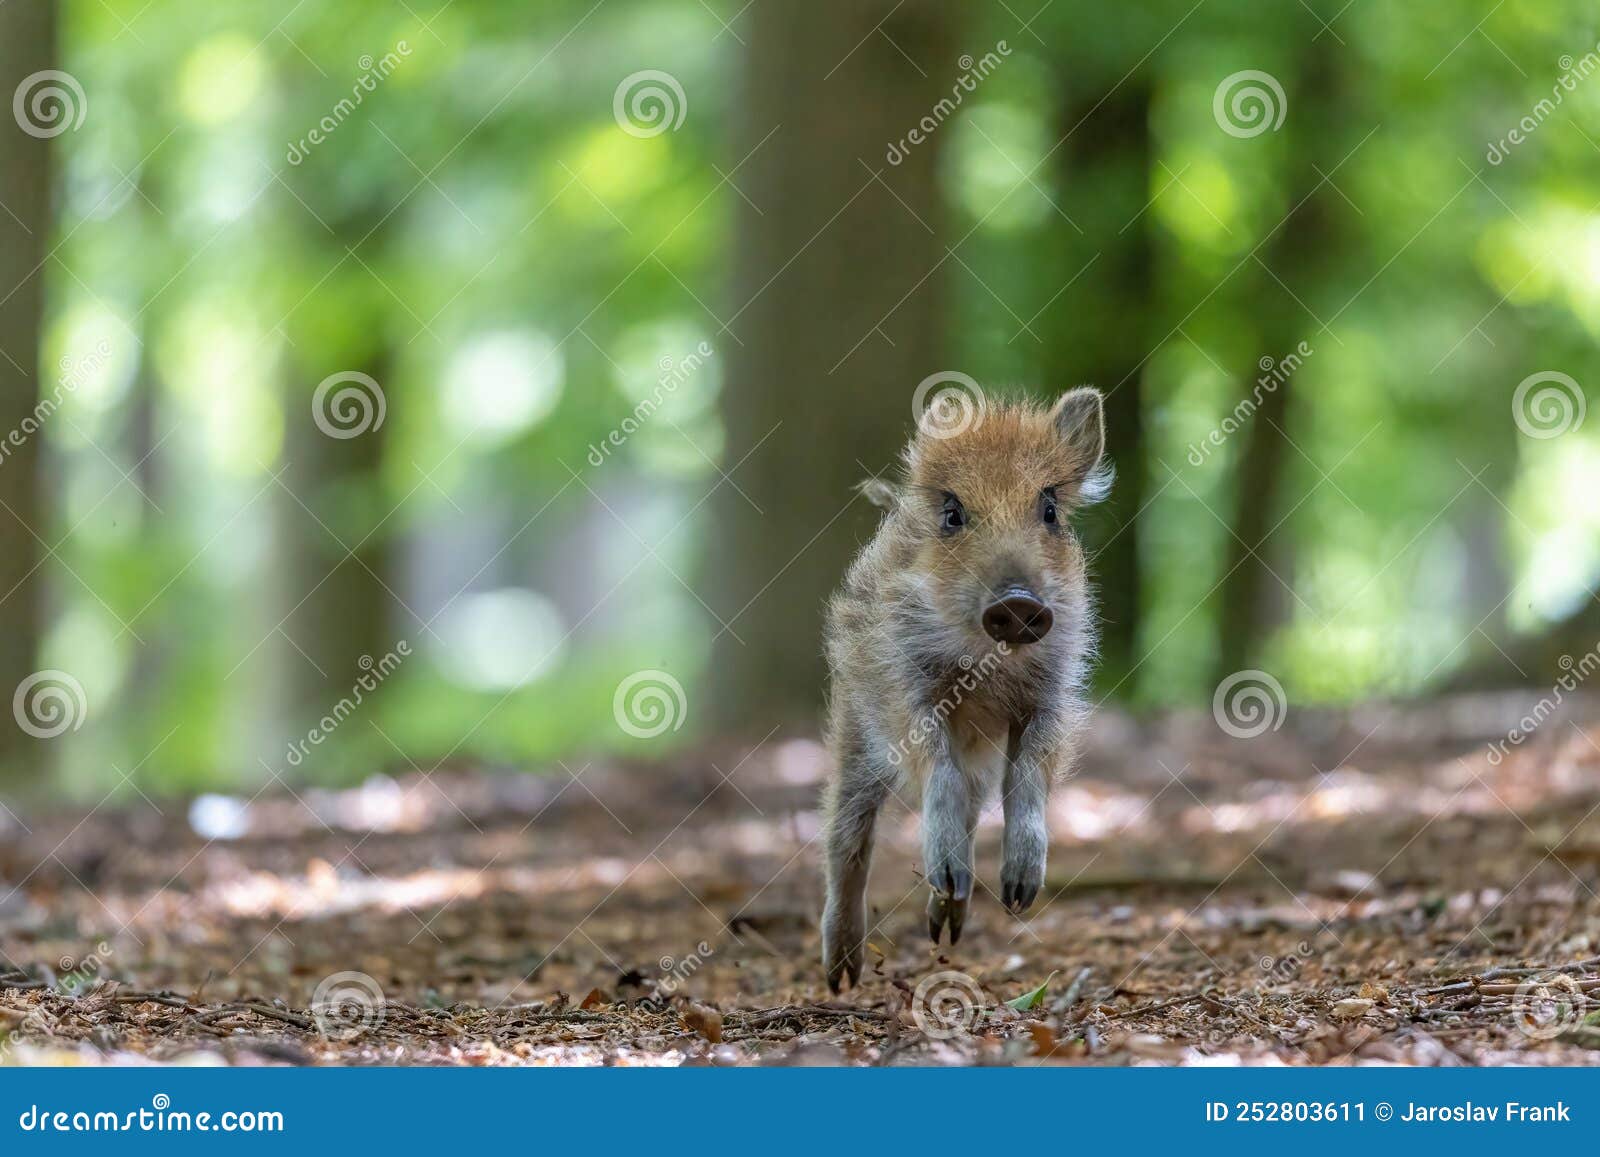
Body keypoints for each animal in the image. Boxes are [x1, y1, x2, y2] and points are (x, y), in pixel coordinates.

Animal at [819, 387, 1111, 992]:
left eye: (1049, 509)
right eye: (952, 514)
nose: (1017, 603)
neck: (985, 669)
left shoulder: (1053, 694)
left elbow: (1029, 773)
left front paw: (1019, 895)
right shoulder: (903, 685)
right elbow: (935, 765)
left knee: (975, 810)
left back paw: (948, 922)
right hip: (854, 731)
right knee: (847, 835)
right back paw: (841, 976)